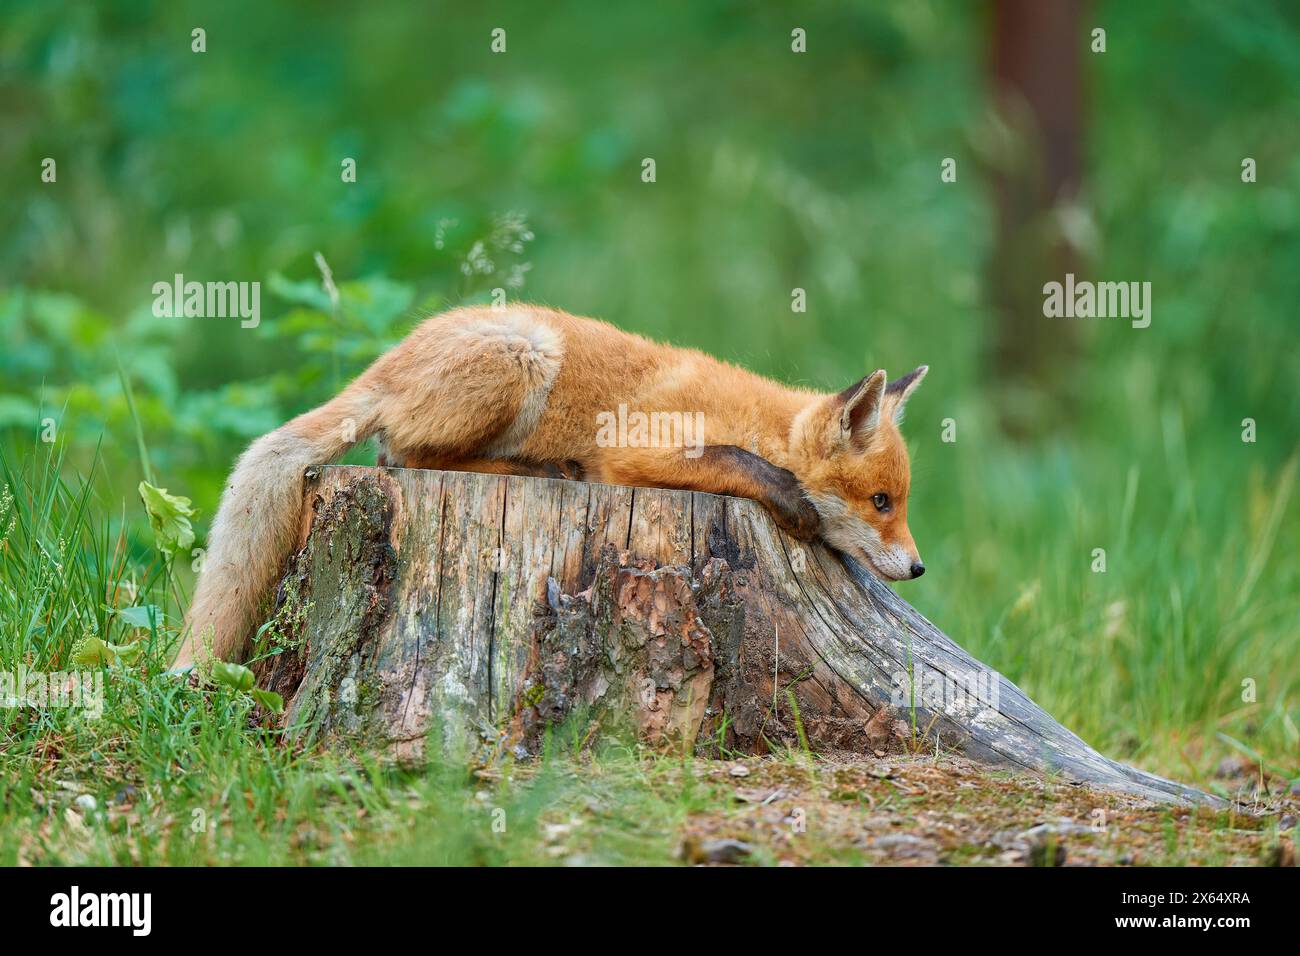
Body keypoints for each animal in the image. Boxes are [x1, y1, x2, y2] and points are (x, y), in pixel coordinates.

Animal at [173, 305, 928, 668]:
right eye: (881, 502)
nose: (919, 567)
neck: (758, 419)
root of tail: (391, 357)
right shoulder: (633, 449)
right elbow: (740, 463)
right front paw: (792, 501)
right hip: (525, 356)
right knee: (401, 457)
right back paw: (538, 469)